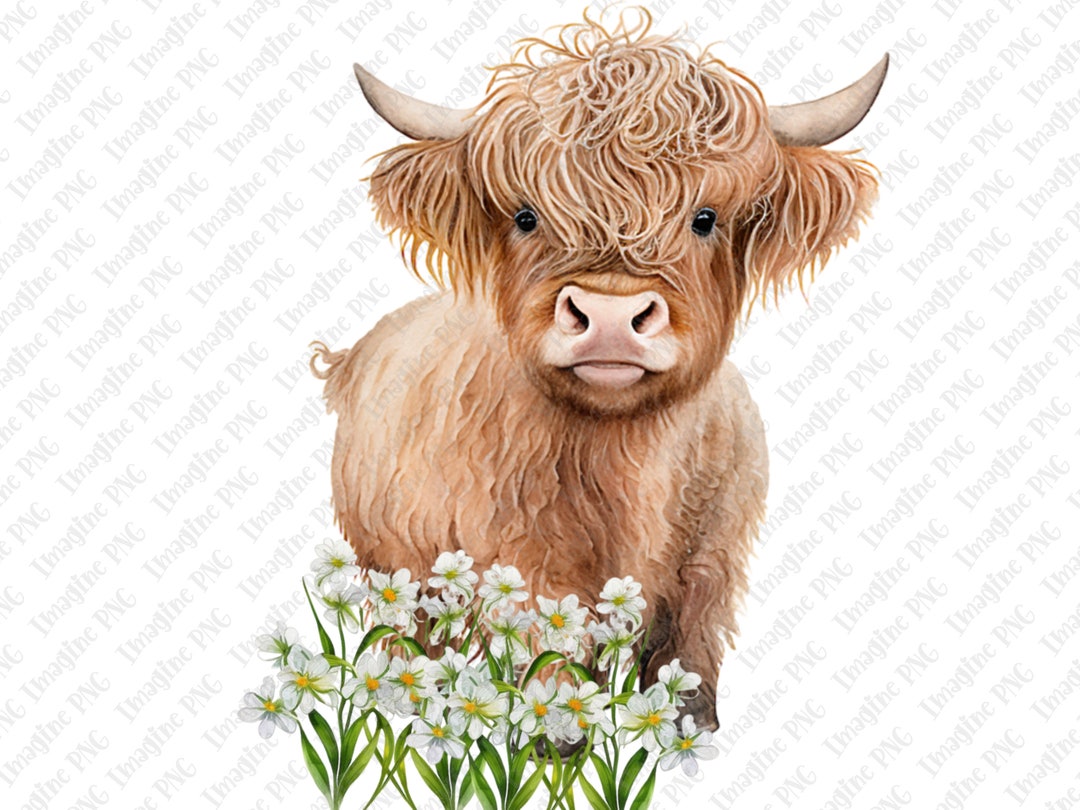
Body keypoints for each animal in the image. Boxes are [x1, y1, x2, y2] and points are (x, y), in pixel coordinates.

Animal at [312, 10, 886, 730]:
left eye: (705, 219)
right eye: (526, 216)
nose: (610, 316)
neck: (627, 463)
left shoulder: (714, 553)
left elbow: (690, 638)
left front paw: (688, 721)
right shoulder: (523, 561)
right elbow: (549, 639)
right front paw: (556, 728)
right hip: (394, 565)